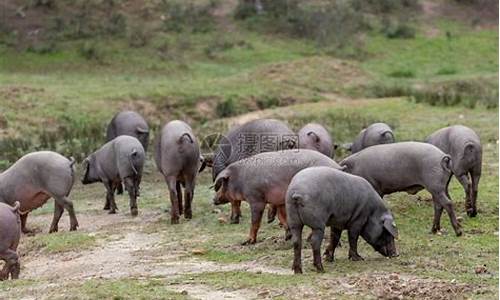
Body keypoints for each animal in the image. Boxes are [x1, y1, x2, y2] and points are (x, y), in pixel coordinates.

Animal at [213, 149, 342, 245]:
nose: (214, 199)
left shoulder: (256, 199)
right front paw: (287, 237)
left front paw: (247, 242)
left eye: (223, 183)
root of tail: (337, 166)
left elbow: (255, 221)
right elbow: (282, 217)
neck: (240, 179)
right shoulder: (279, 200)